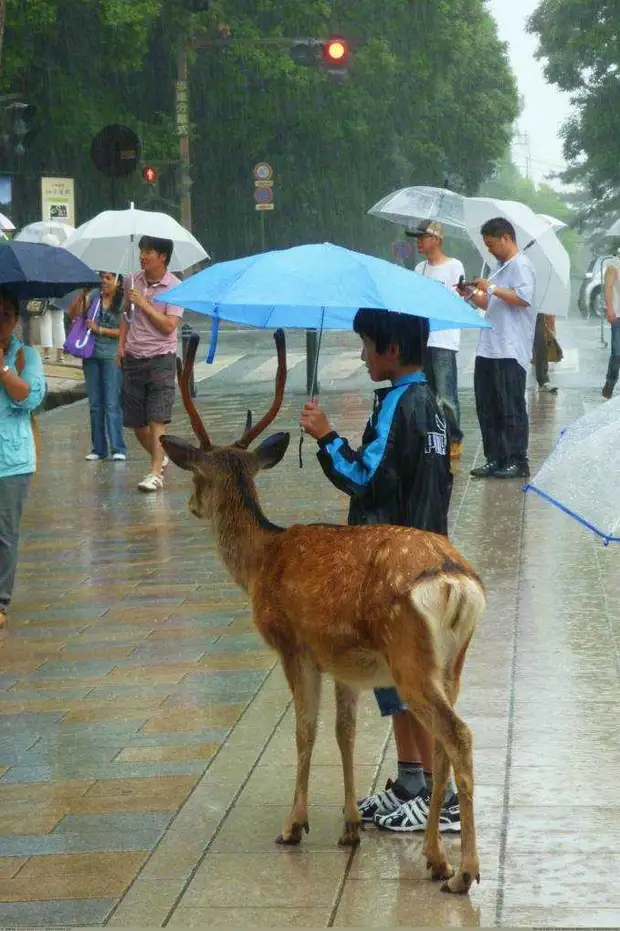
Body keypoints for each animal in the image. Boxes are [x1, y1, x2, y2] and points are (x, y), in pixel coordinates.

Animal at [162, 330, 486, 896]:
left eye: (197, 478)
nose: (192, 506)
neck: (261, 561)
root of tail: (455, 580)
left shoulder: (294, 645)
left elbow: (305, 730)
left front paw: (295, 825)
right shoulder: (344, 663)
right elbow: (345, 732)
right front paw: (350, 826)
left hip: (410, 660)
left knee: (458, 737)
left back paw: (462, 871)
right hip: (452, 663)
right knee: (444, 744)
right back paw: (434, 858)